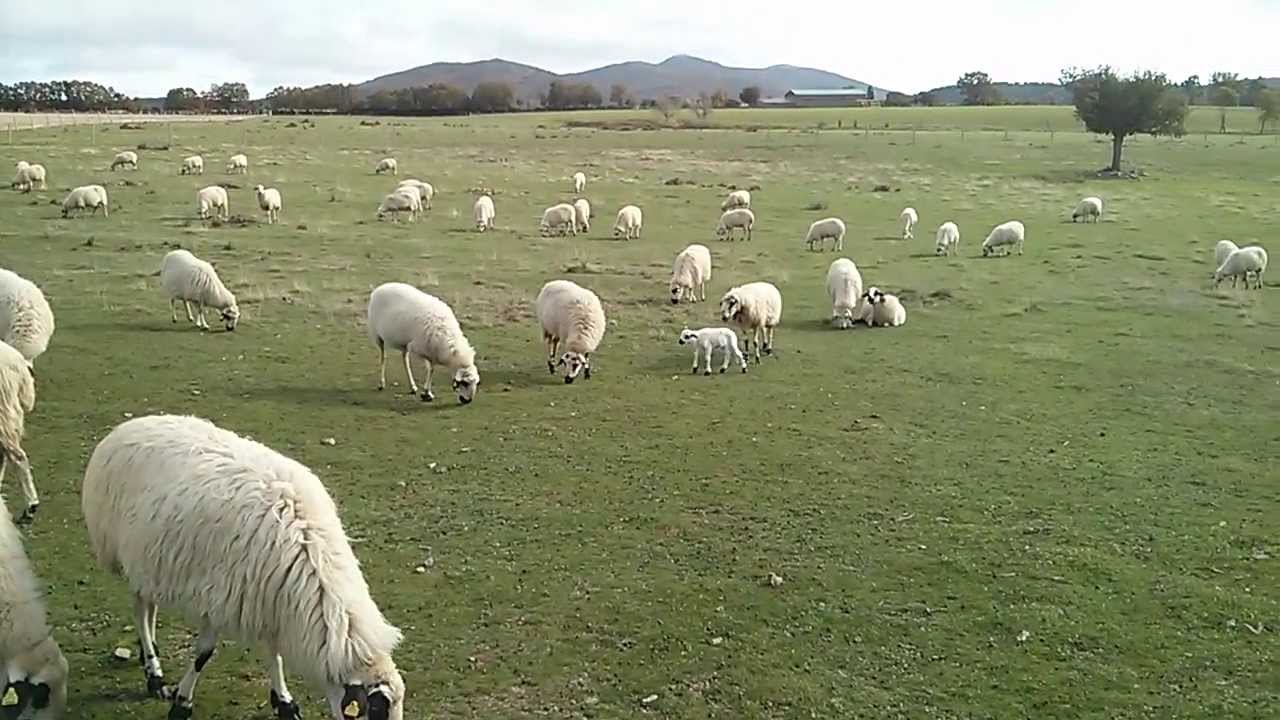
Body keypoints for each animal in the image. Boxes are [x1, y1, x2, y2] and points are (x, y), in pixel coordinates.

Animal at [82, 414, 407, 720]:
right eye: (376, 709)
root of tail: (131, 425)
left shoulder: (270, 599)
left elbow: (274, 653)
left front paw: (284, 702)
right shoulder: (221, 598)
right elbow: (203, 655)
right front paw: (182, 704)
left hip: (150, 561)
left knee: (149, 608)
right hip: (125, 552)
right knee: (140, 611)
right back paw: (154, 673)